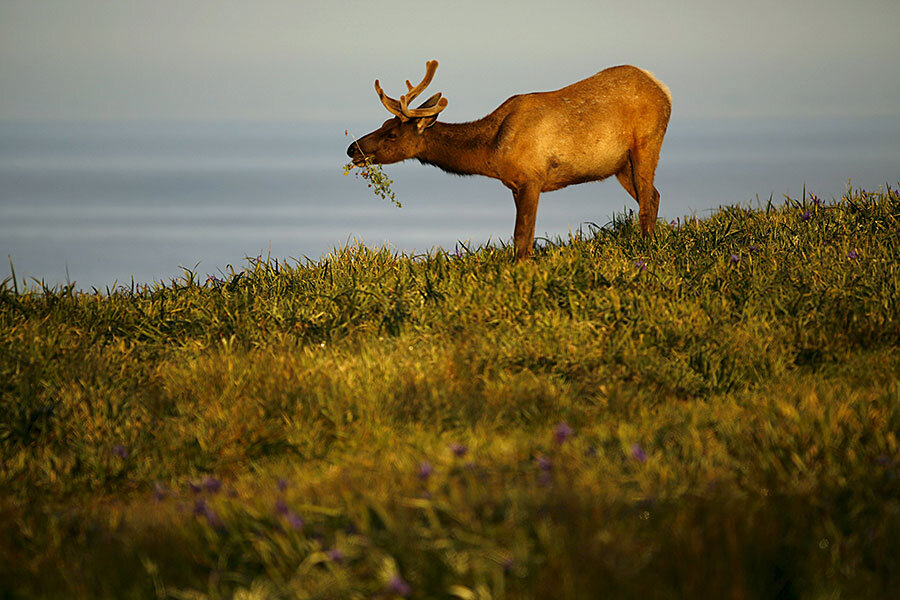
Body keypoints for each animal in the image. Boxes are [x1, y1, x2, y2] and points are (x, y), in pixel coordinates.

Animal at [346, 60, 671, 261]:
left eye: (392, 134)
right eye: (383, 124)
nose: (352, 149)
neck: (491, 152)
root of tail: (663, 89)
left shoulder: (532, 178)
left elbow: (522, 235)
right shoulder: (515, 185)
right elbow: (522, 238)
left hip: (647, 142)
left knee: (646, 200)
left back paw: (646, 249)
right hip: (621, 165)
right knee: (654, 195)